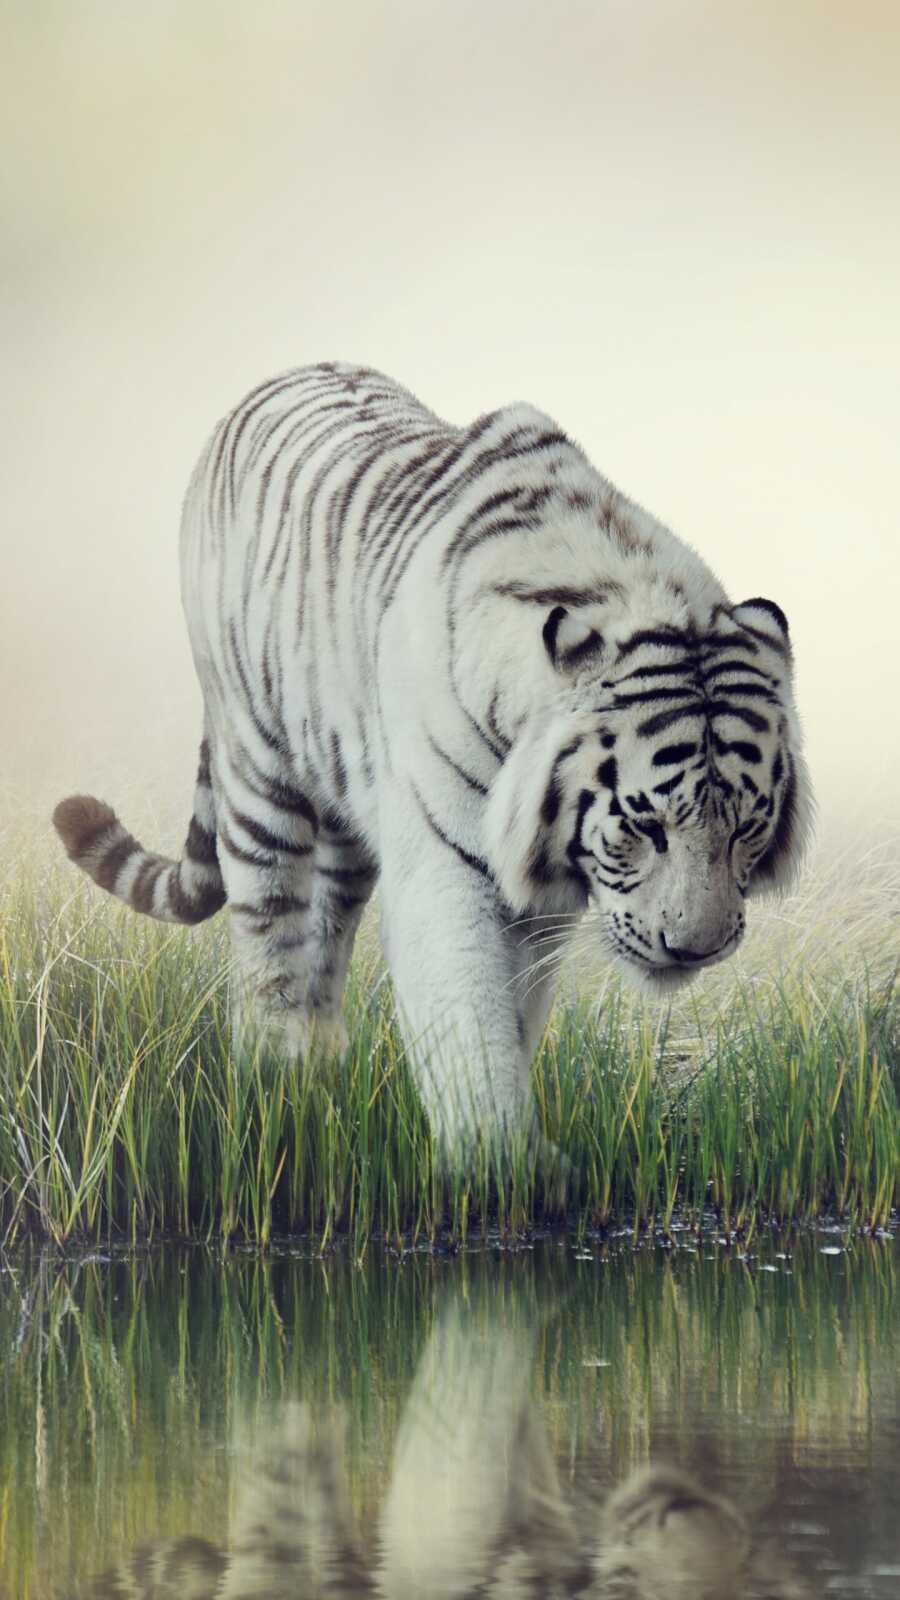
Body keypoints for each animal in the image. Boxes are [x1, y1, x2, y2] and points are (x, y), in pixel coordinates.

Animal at [53, 361, 813, 1154]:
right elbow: (469, 1019)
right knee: (269, 939)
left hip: (349, 818)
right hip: (257, 773)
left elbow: (514, 1012)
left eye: (747, 827)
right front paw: (500, 1160)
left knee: (326, 936)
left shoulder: (538, 903)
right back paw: (275, 1078)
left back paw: (323, 1068)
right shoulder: (446, 866)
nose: (694, 949)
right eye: (643, 826)